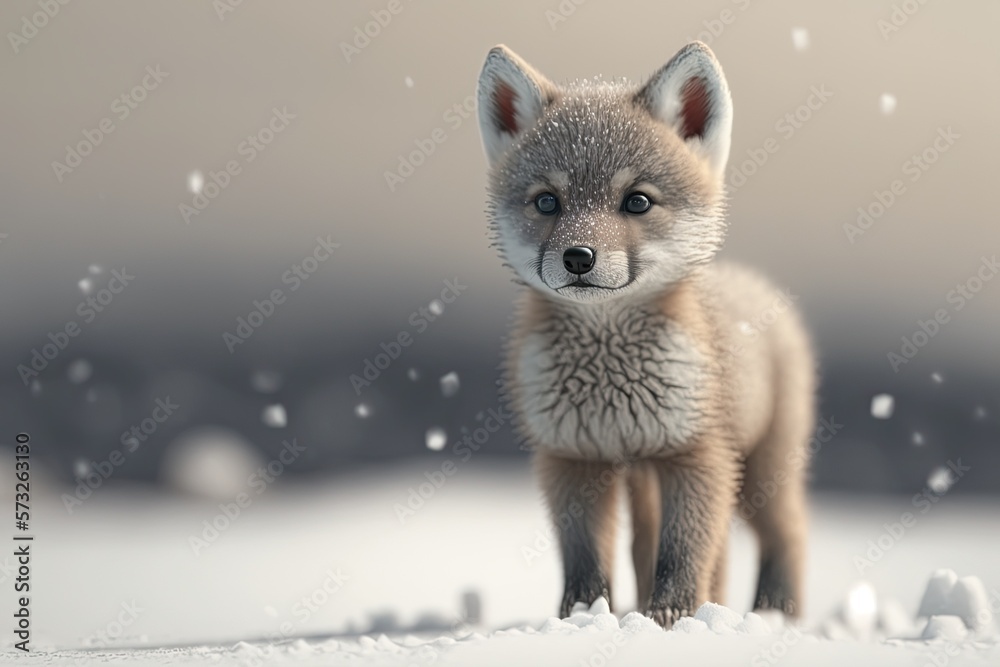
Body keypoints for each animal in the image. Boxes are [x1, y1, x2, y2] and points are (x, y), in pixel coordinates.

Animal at [475, 42, 816, 627]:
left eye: (636, 201)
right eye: (547, 202)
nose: (579, 257)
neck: (611, 385)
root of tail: (757, 283)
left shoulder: (697, 455)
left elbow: (681, 556)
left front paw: (668, 619)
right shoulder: (572, 461)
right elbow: (587, 560)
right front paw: (583, 616)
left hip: (759, 472)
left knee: (788, 532)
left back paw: (776, 615)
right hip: (648, 477)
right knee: (658, 549)